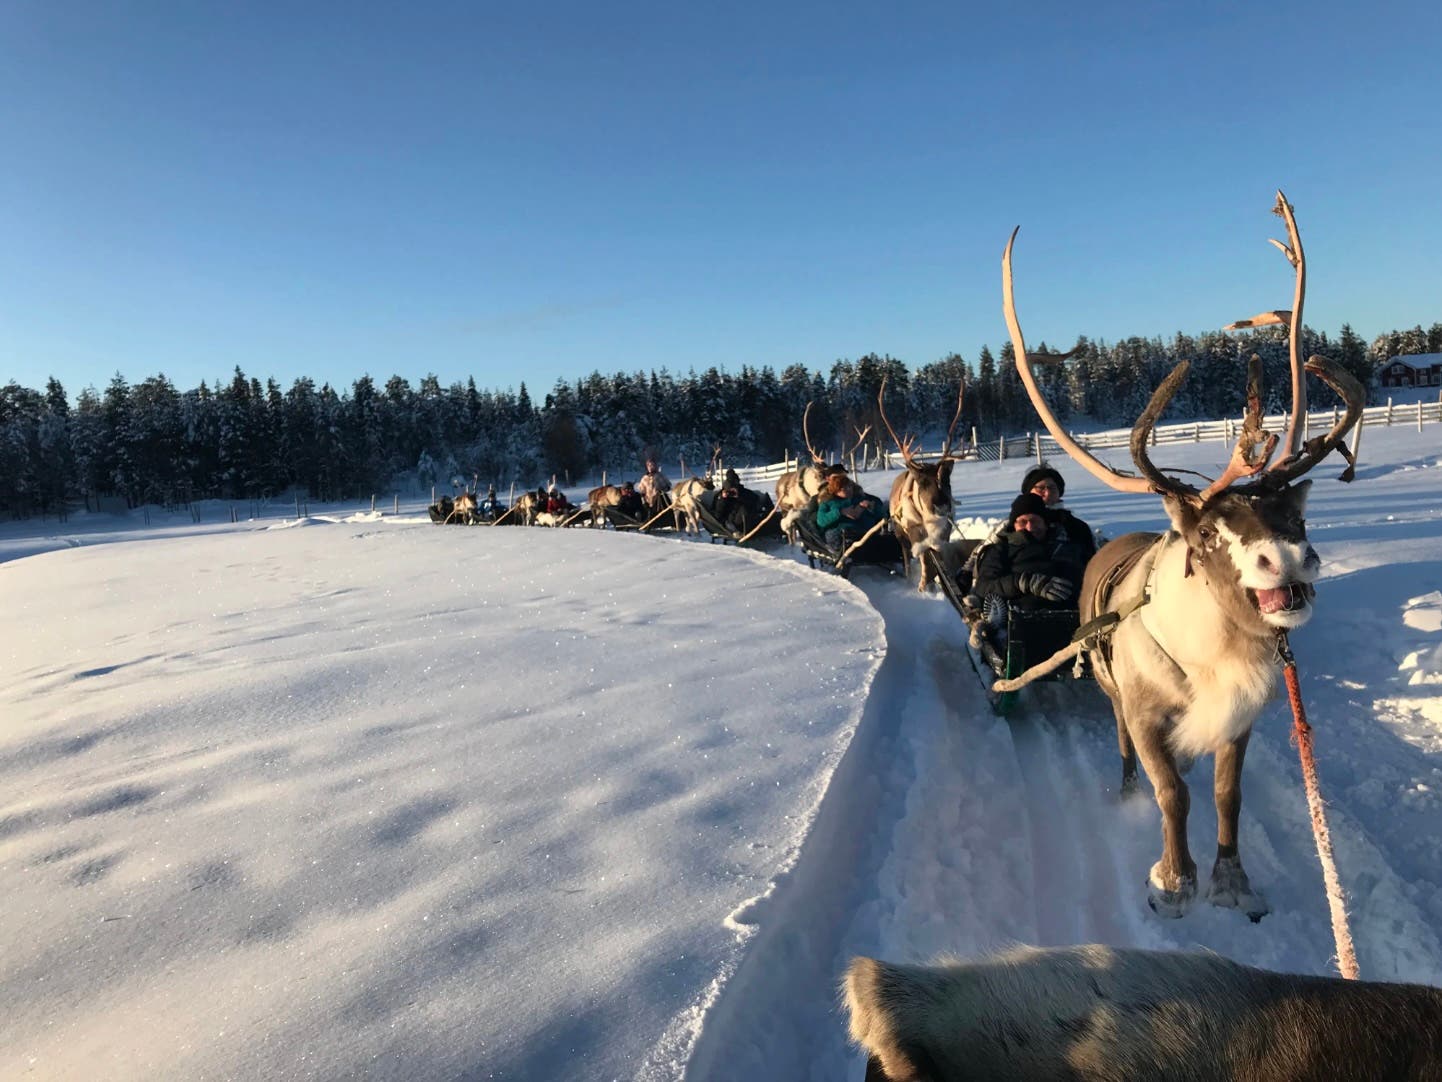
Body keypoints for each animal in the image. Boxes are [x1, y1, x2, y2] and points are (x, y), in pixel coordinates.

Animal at [878, 375, 966, 593]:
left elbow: (938, 559)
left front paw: (939, 583)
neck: (929, 520)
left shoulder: (944, 531)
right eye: (921, 482)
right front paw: (923, 586)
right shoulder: (914, 531)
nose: (942, 506)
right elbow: (925, 559)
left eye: (945, 480)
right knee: (907, 557)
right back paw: (909, 577)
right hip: (899, 533)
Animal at [1001, 192, 1364, 919]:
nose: (1287, 559)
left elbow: (1227, 795)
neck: (1210, 660)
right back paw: (1125, 793)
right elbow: (1173, 792)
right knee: (1123, 751)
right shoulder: (1145, 712)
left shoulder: (1239, 720)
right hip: (1110, 692)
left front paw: (1232, 878)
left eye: (1296, 517)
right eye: (1207, 537)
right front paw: (1173, 879)